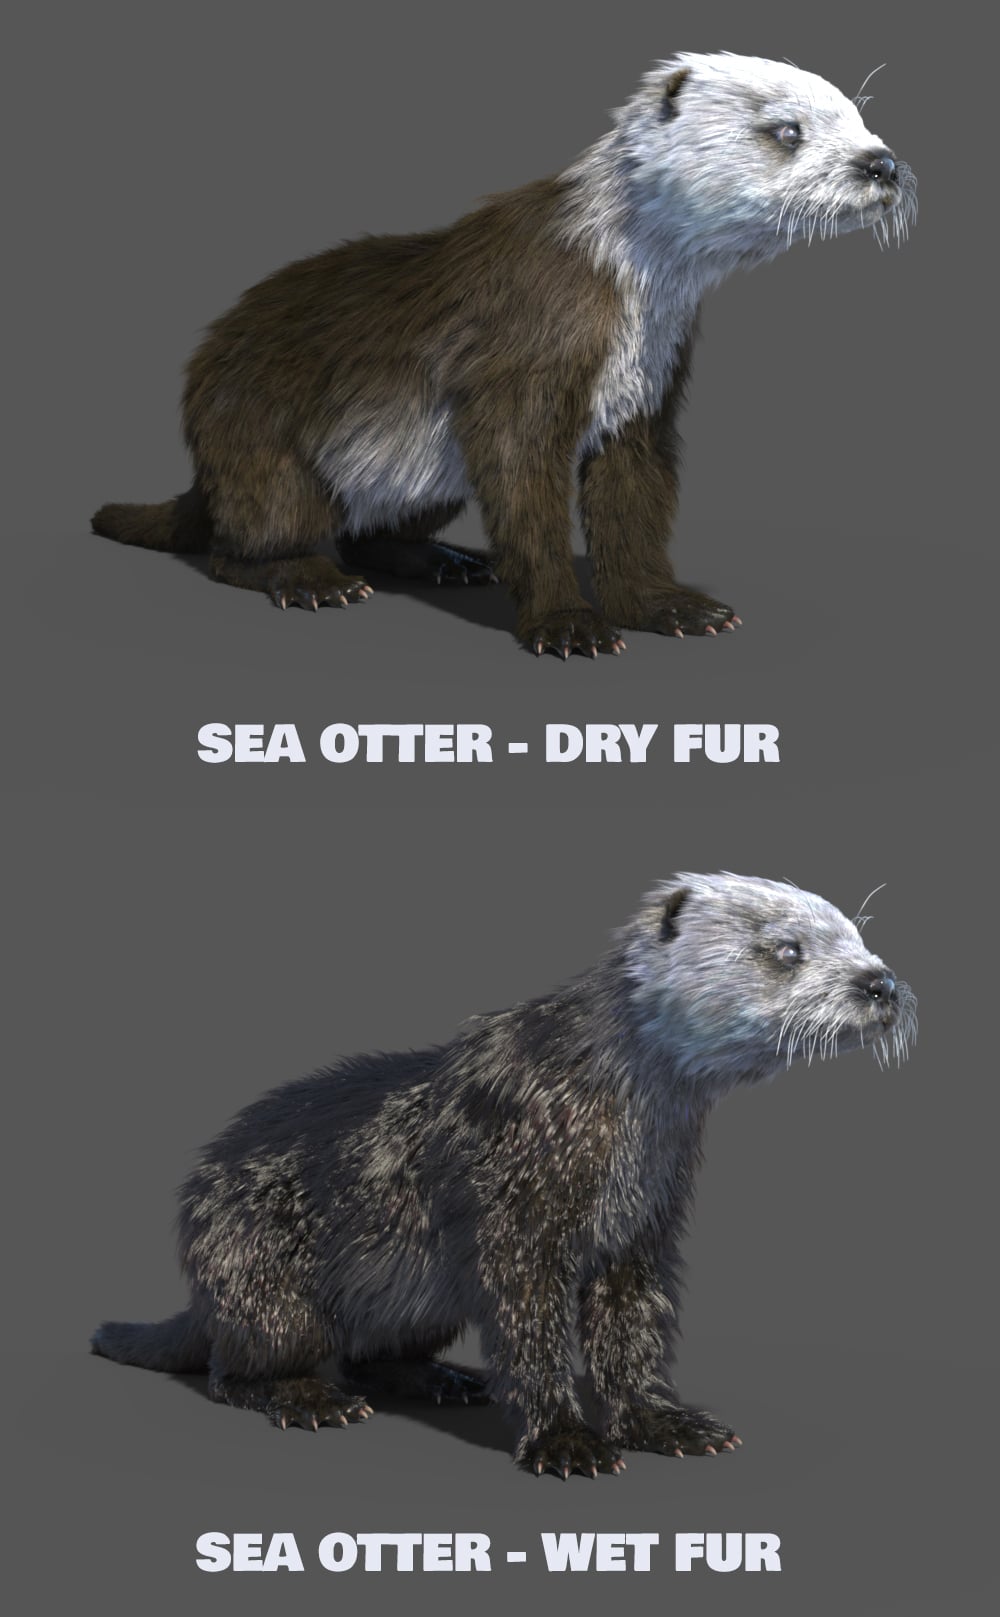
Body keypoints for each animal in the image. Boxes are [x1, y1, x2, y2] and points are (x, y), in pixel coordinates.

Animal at [91, 54, 916, 658]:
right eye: (788, 128)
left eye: (860, 113)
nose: (882, 163)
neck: (614, 284)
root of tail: (205, 457)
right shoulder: (520, 364)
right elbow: (528, 494)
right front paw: (566, 624)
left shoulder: (647, 391)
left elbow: (635, 506)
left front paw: (672, 606)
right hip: (266, 447)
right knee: (243, 546)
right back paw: (311, 579)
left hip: (417, 477)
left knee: (373, 532)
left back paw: (446, 562)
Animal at [92, 874, 916, 1477]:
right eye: (787, 947)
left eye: (859, 933)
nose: (881, 982)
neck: (605, 1104)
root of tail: (201, 1285)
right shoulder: (518, 1211)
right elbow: (530, 1328)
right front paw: (567, 1442)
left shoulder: (647, 1217)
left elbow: (633, 1327)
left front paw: (669, 1422)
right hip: (266, 1282)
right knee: (233, 1369)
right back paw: (309, 1398)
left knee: (371, 1353)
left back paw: (443, 1380)